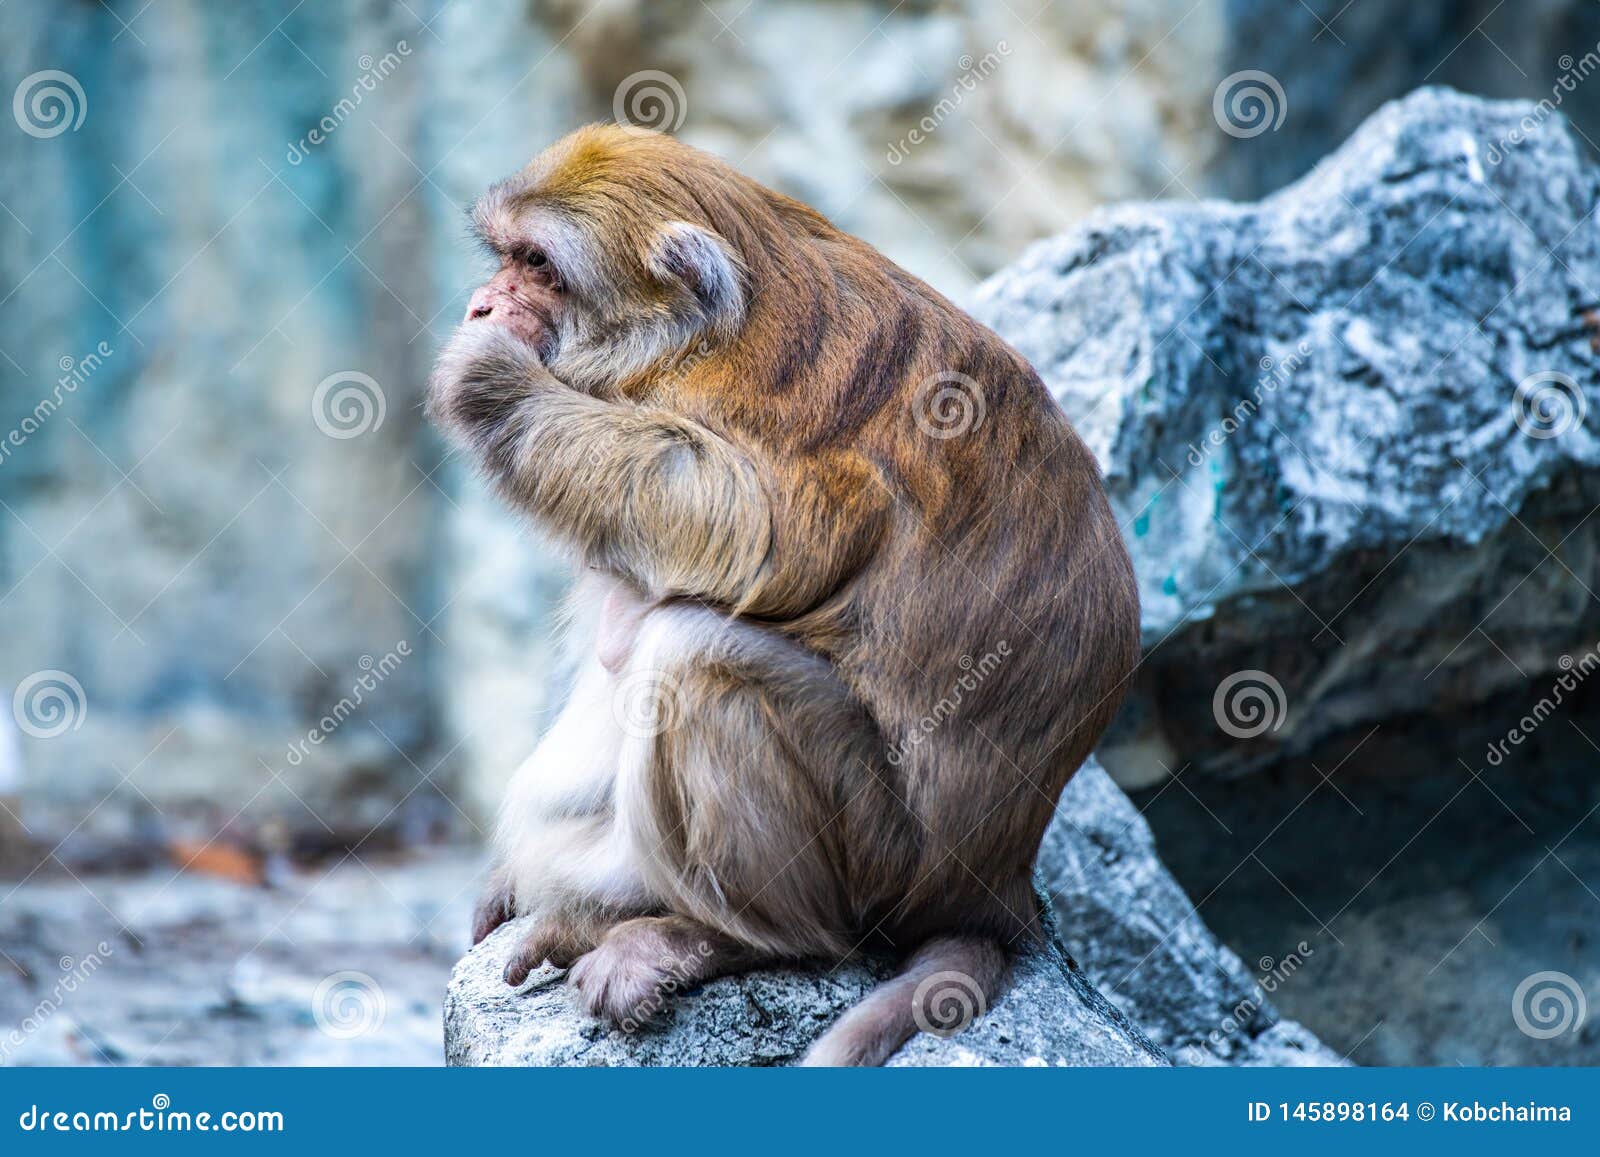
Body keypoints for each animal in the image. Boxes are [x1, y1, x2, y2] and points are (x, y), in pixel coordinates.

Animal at [428, 124, 1140, 1066]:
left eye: (540, 267)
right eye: (507, 257)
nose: (482, 307)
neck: (692, 335)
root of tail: (997, 884)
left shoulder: (751, 402)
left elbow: (759, 532)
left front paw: (492, 385)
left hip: (881, 863)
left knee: (694, 657)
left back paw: (721, 938)